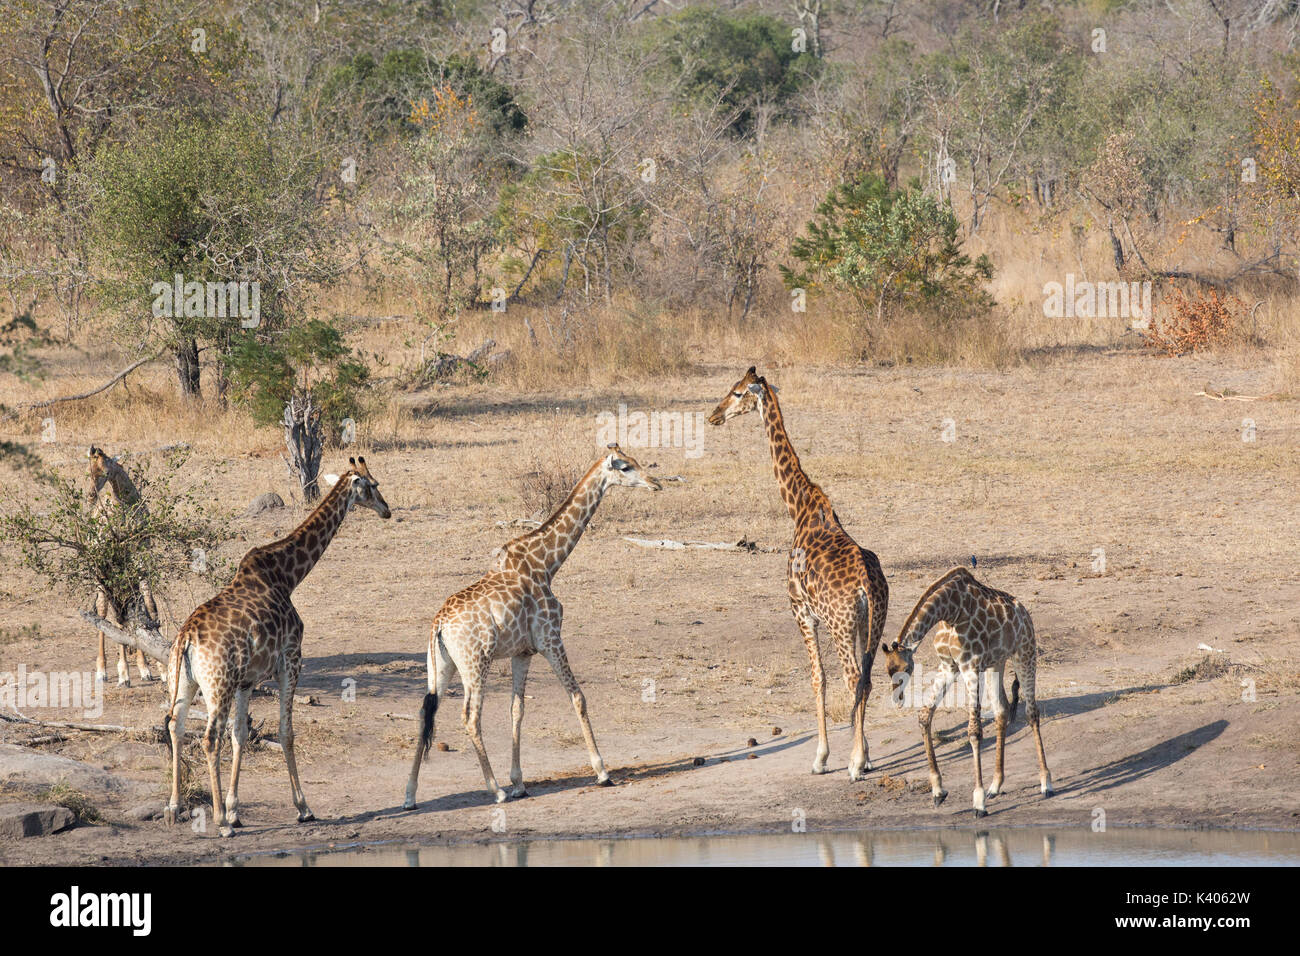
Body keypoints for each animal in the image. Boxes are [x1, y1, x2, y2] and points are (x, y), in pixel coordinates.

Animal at [87, 446, 157, 686]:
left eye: (106, 472)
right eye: (89, 471)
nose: (90, 496)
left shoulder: (142, 551)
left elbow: (146, 602)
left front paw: (151, 668)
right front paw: (124, 671)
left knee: (122, 609)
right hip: (101, 568)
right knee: (104, 610)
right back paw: (106, 671)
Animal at [163, 457, 391, 837]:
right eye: (372, 485)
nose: (387, 510)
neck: (287, 575)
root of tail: (187, 637)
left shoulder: (247, 680)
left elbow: (240, 735)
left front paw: (235, 810)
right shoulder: (291, 660)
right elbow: (287, 732)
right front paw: (303, 808)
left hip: (184, 681)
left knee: (175, 725)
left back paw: (173, 808)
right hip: (218, 684)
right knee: (209, 737)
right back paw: (219, 823)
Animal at [403, 444, 661, 809]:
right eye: (625, 467)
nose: (655, 483)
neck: (547, 563)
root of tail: (438, 624)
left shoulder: (521, 652)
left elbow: (517, 709)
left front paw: (519, 783)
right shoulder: (551, 638)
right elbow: (578, 697)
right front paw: (602, 772)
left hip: (441, 664)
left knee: (426, 712)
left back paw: (410, 795)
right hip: (475, 663)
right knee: (470, 717)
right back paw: (494, 790)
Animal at [708, 367, 888, 780]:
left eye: (737, 392)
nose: (713, 416)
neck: (799, 506)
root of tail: (867, 586)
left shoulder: (801, 611)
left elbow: (817, 678)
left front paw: (822, 758)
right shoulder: (851, 623)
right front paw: (867, 753)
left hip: (840, 624)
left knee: (853, 677)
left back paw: (853, 765)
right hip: (873, 621)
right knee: (867, 678)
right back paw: (860, 758)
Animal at [881, 566, 1054, 817]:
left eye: (906, 667)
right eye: (888, 669)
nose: (898, 698)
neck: (950, 610)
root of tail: (1024, 612)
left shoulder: (969, 666)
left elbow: (974, 731)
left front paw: (978, 802)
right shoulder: (948, 666)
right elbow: (924, 715)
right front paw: (938, 791)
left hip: (1025, 652)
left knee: (1032, 712)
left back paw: (1046, 783)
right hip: (996, 663)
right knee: (1001, 710)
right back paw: (995, 785)